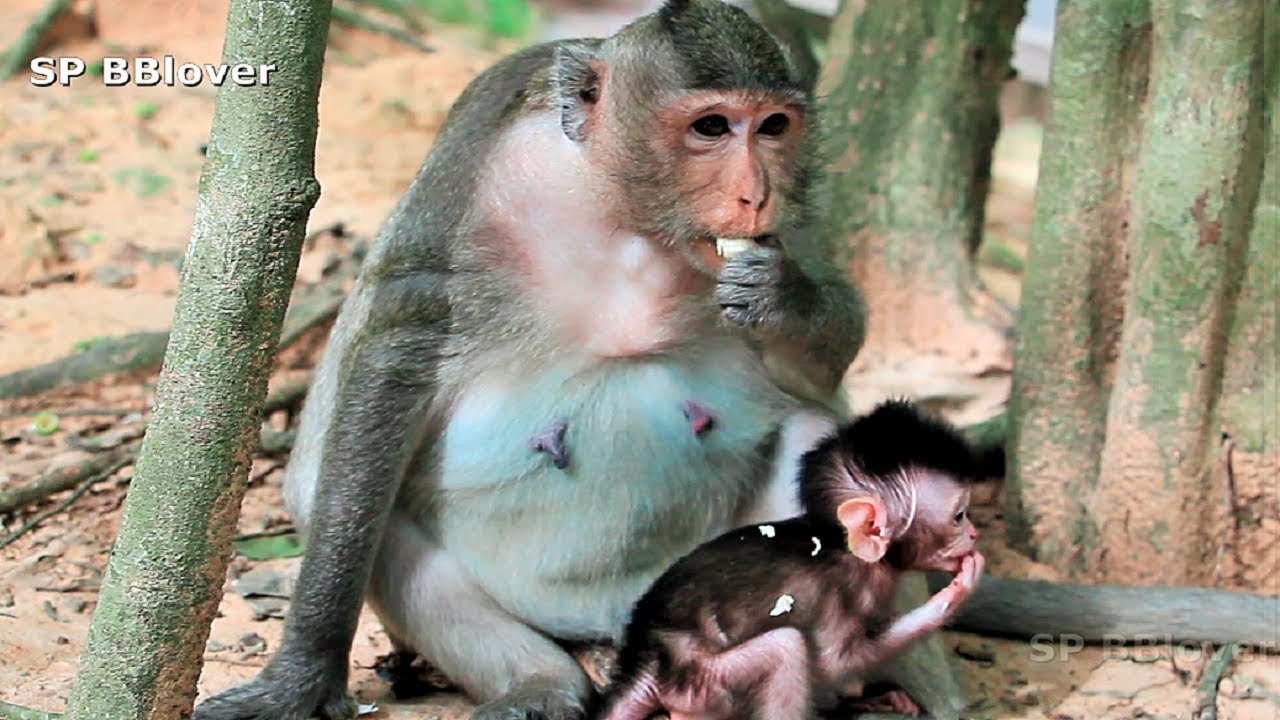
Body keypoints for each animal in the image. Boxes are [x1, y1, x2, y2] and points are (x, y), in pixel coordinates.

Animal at [194, 3, 866, 719]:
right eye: (711, 127)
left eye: (773, 127)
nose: (756, 194)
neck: (625, 213)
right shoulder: (481, 175)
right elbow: (395, 349)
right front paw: (305, 670)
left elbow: (829, 357)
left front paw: (780, 295)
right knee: (383, 530)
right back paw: (541, 685)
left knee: (812, 434)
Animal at [595, 400, 985, 720]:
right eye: (959, 515)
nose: (974, 534)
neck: (839, 543)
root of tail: (649, 656)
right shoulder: (843, 590)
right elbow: (836, 662)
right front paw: (950, 598)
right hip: (700, 679)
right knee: (786, 649)